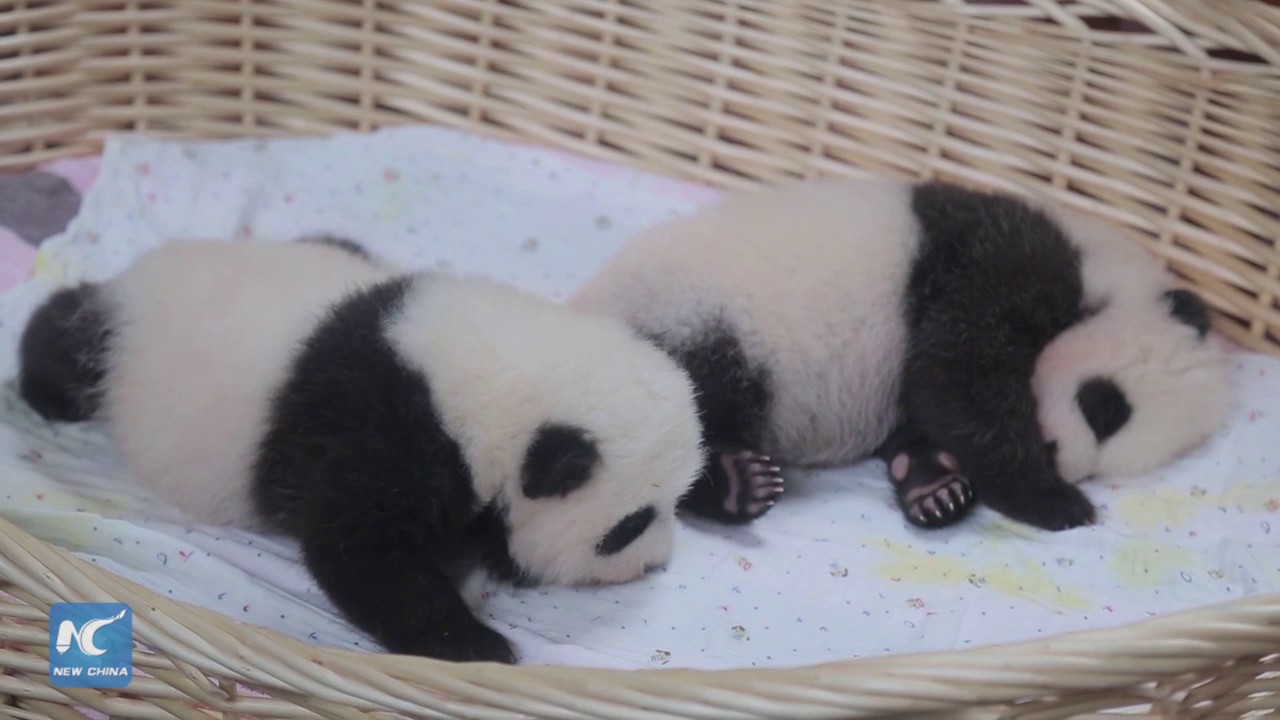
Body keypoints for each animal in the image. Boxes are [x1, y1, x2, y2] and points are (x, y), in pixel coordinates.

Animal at [17, 235, 705, 664]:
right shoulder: (382, 437)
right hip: (121, 344)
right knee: (72, 332)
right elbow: (359, 552)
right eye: (628, 526)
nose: (658, 563)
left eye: (679, 502)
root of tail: (146, 268)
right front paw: (477, 644)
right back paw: (41, 382)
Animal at [570, 176, 1232, 532]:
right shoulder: (1003, 265)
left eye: (1110, 452)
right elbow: (956, 373)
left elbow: (930, 412)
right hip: (698, 319)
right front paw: (1052, 499)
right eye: (1106, 407)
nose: (1057, 456)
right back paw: (737, 482)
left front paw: (933, 485)